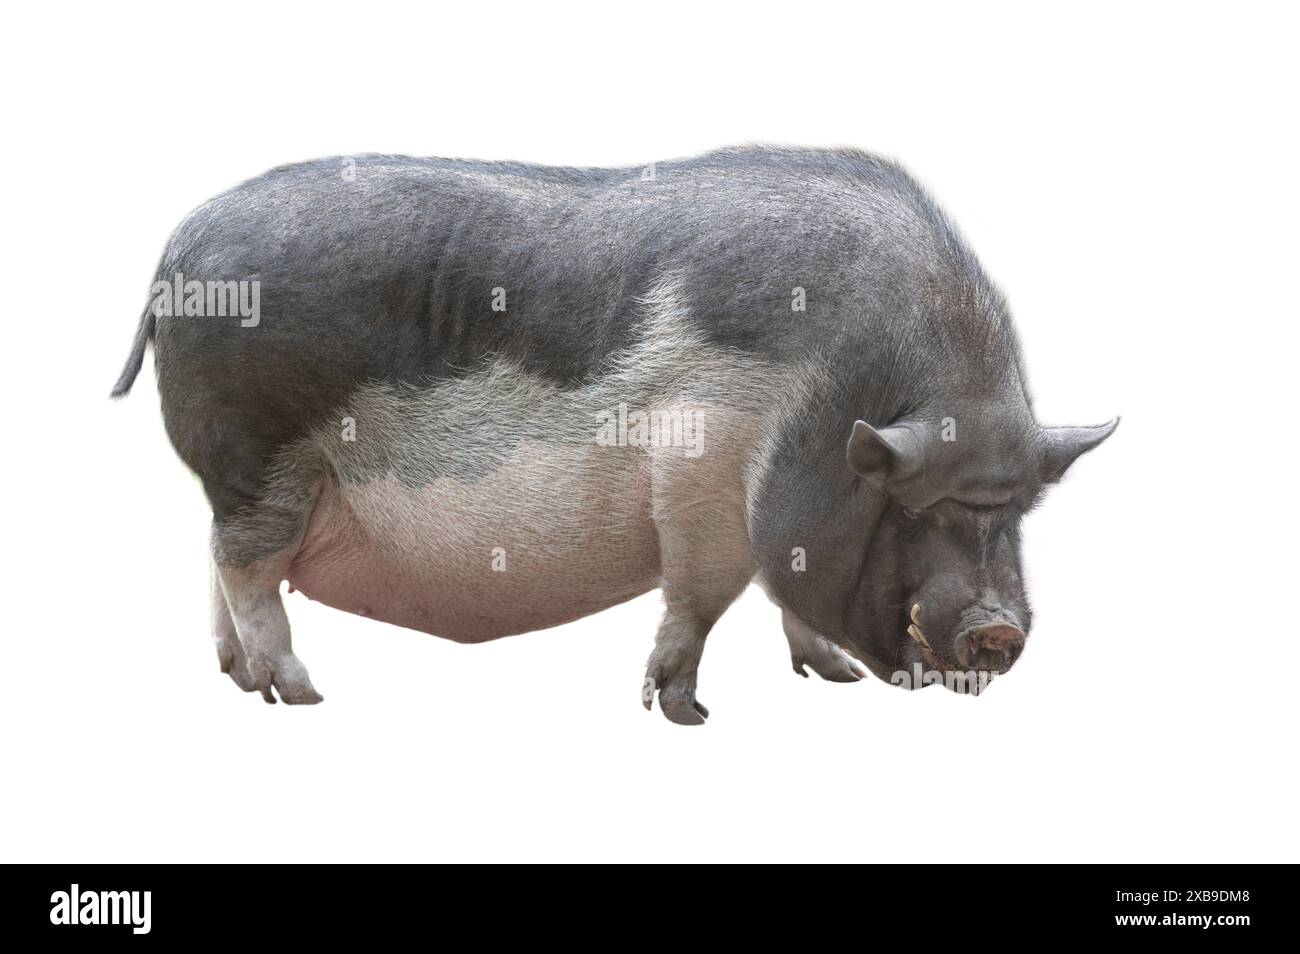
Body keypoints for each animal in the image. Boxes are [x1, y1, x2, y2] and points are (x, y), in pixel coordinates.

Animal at [112, 147, 1115, 722]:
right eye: (917, 508)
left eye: (1013, 513)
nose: (999, 631)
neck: (837, 400)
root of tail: (175, 254)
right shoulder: (702, 475)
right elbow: (702, 598)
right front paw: (683, 713)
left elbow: (787, 589)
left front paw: (836, 681)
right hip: (256, 452)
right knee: (246, 568)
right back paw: (302, 694)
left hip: (243, 477)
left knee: (217, 558)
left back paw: (240, 683)